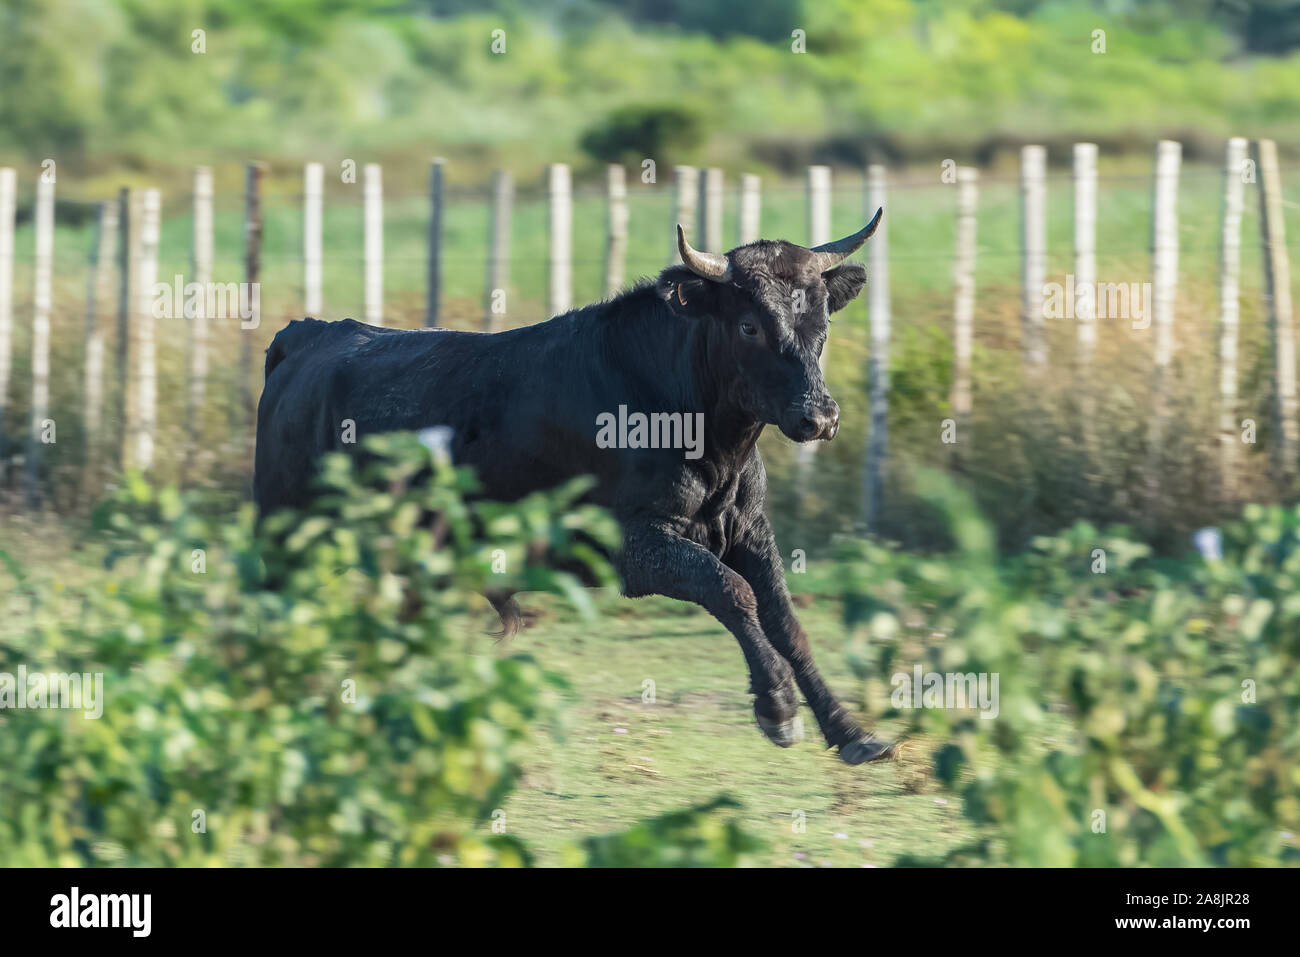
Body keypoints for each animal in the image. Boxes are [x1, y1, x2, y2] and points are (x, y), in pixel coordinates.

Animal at [254, 209, 894, 765]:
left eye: (822, 323)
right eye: (748, 324)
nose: (820, 416)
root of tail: (310, 334)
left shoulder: (749, 531)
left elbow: (784, 619)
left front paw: (850, 730)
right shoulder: (635, 547)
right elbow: (731, 593)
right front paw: (777, 706)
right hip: (284, 540)